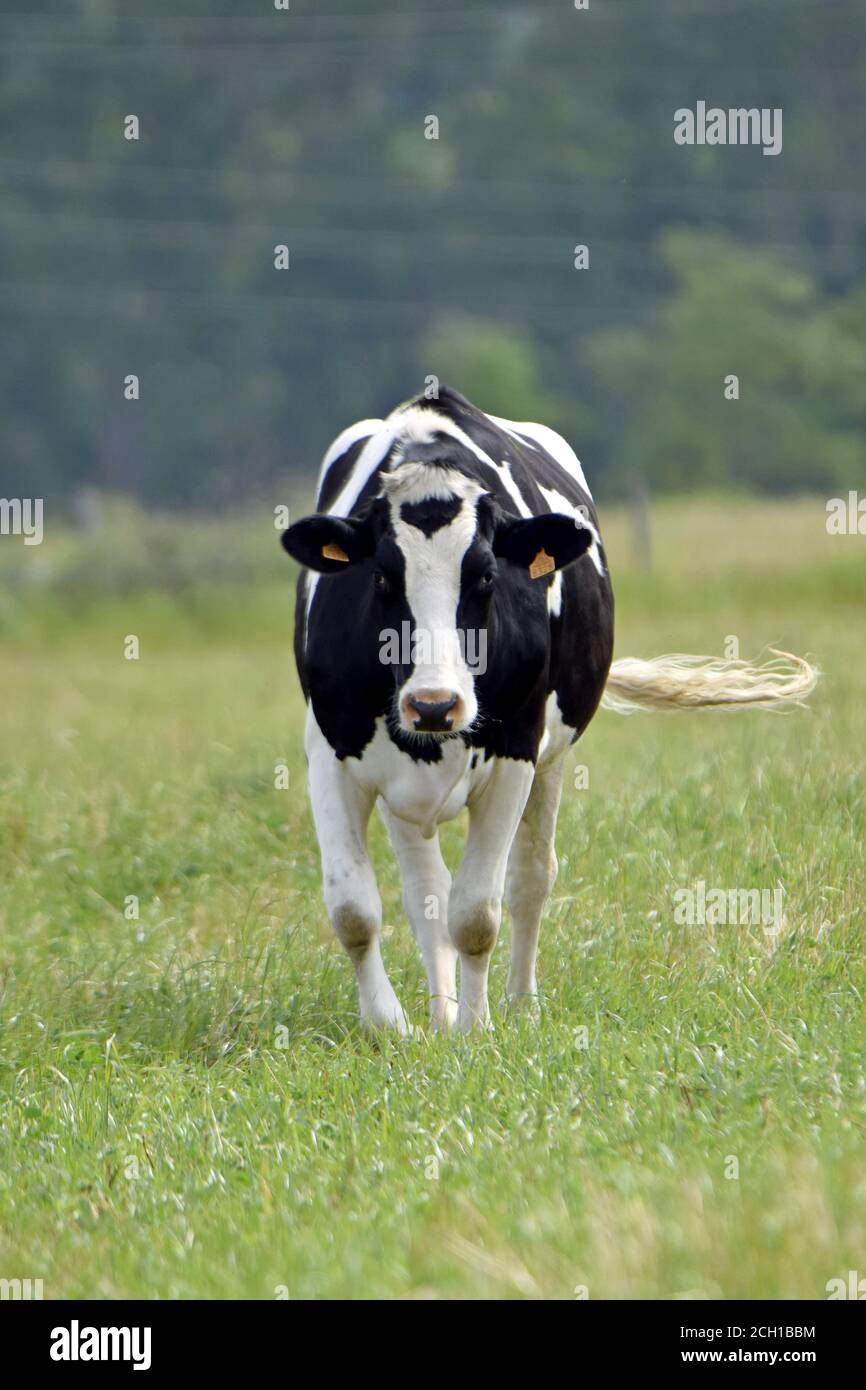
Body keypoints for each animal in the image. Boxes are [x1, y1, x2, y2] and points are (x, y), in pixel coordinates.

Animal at [281, 385, 816, 1034]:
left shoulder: (517, 747)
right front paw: (393, 1028)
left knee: (530, 879)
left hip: (552, 759)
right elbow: (355, 909)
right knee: (424, 892)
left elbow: (476, 913)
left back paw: (516, 1005)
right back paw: (438, 1016)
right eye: (381, 577)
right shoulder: (329, 751)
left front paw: (475, 1030)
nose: (434, 704)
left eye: (487, 576)